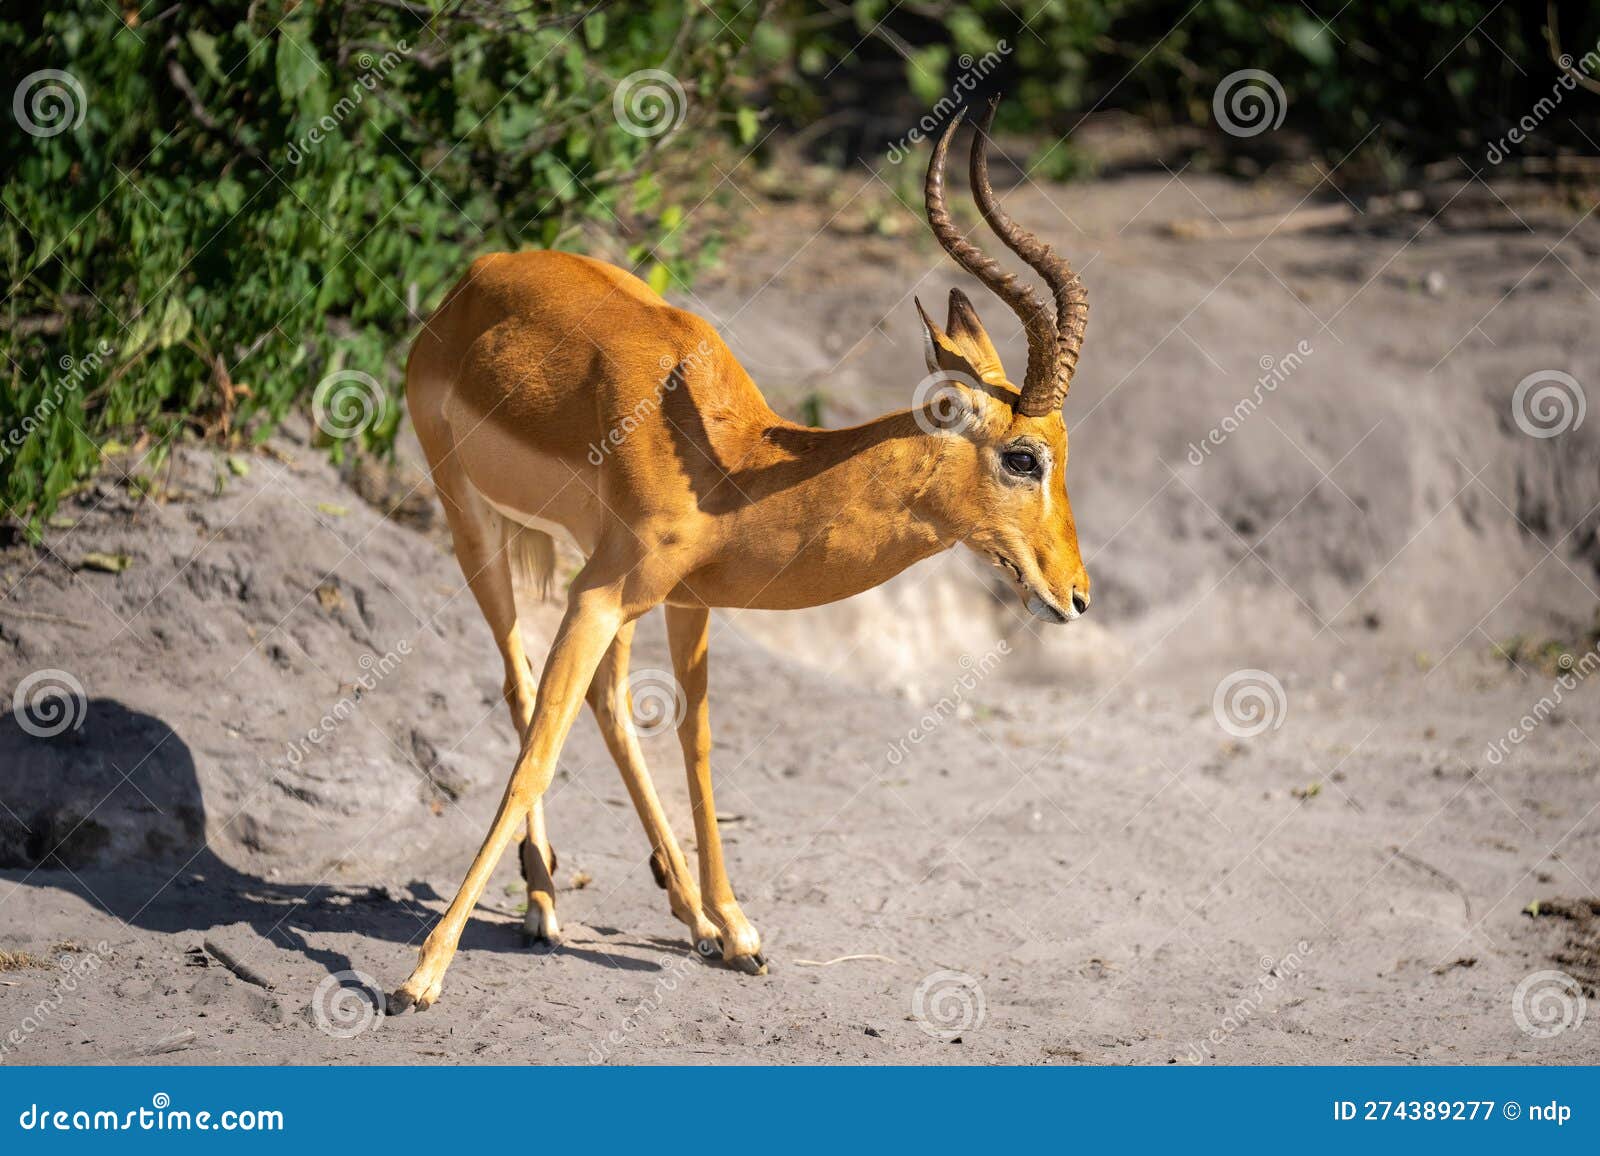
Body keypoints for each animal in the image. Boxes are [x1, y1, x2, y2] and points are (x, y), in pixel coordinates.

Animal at [390, 98, 1091, 1012]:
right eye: (1023, 457)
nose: (1076, 594)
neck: (733, 466)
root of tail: (476, 276)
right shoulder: (601, 594)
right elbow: (535, 758)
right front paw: (423, 973)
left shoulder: (685, 600)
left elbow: (697, 743)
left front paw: (737, 930)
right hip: (471, 515)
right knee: (522, 685)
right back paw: (540, 909)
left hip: (596, 575)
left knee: (606, 703)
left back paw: (679, 912)